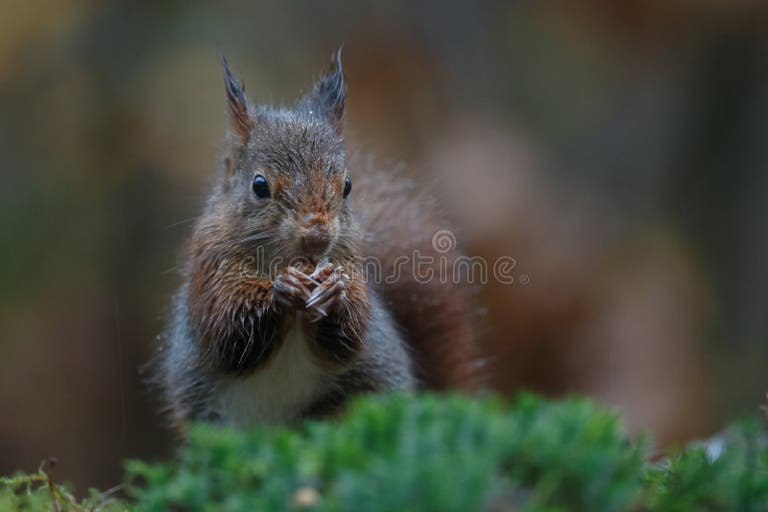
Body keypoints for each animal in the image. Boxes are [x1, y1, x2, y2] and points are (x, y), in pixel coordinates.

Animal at [155, 49, 479, 434]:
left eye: (348, 185)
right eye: (259, 186)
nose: (317, 236)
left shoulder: (351, 263)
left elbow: (351, 331)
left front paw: (335, 293)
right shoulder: (209, 269)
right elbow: (226, 329)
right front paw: (280, 291)